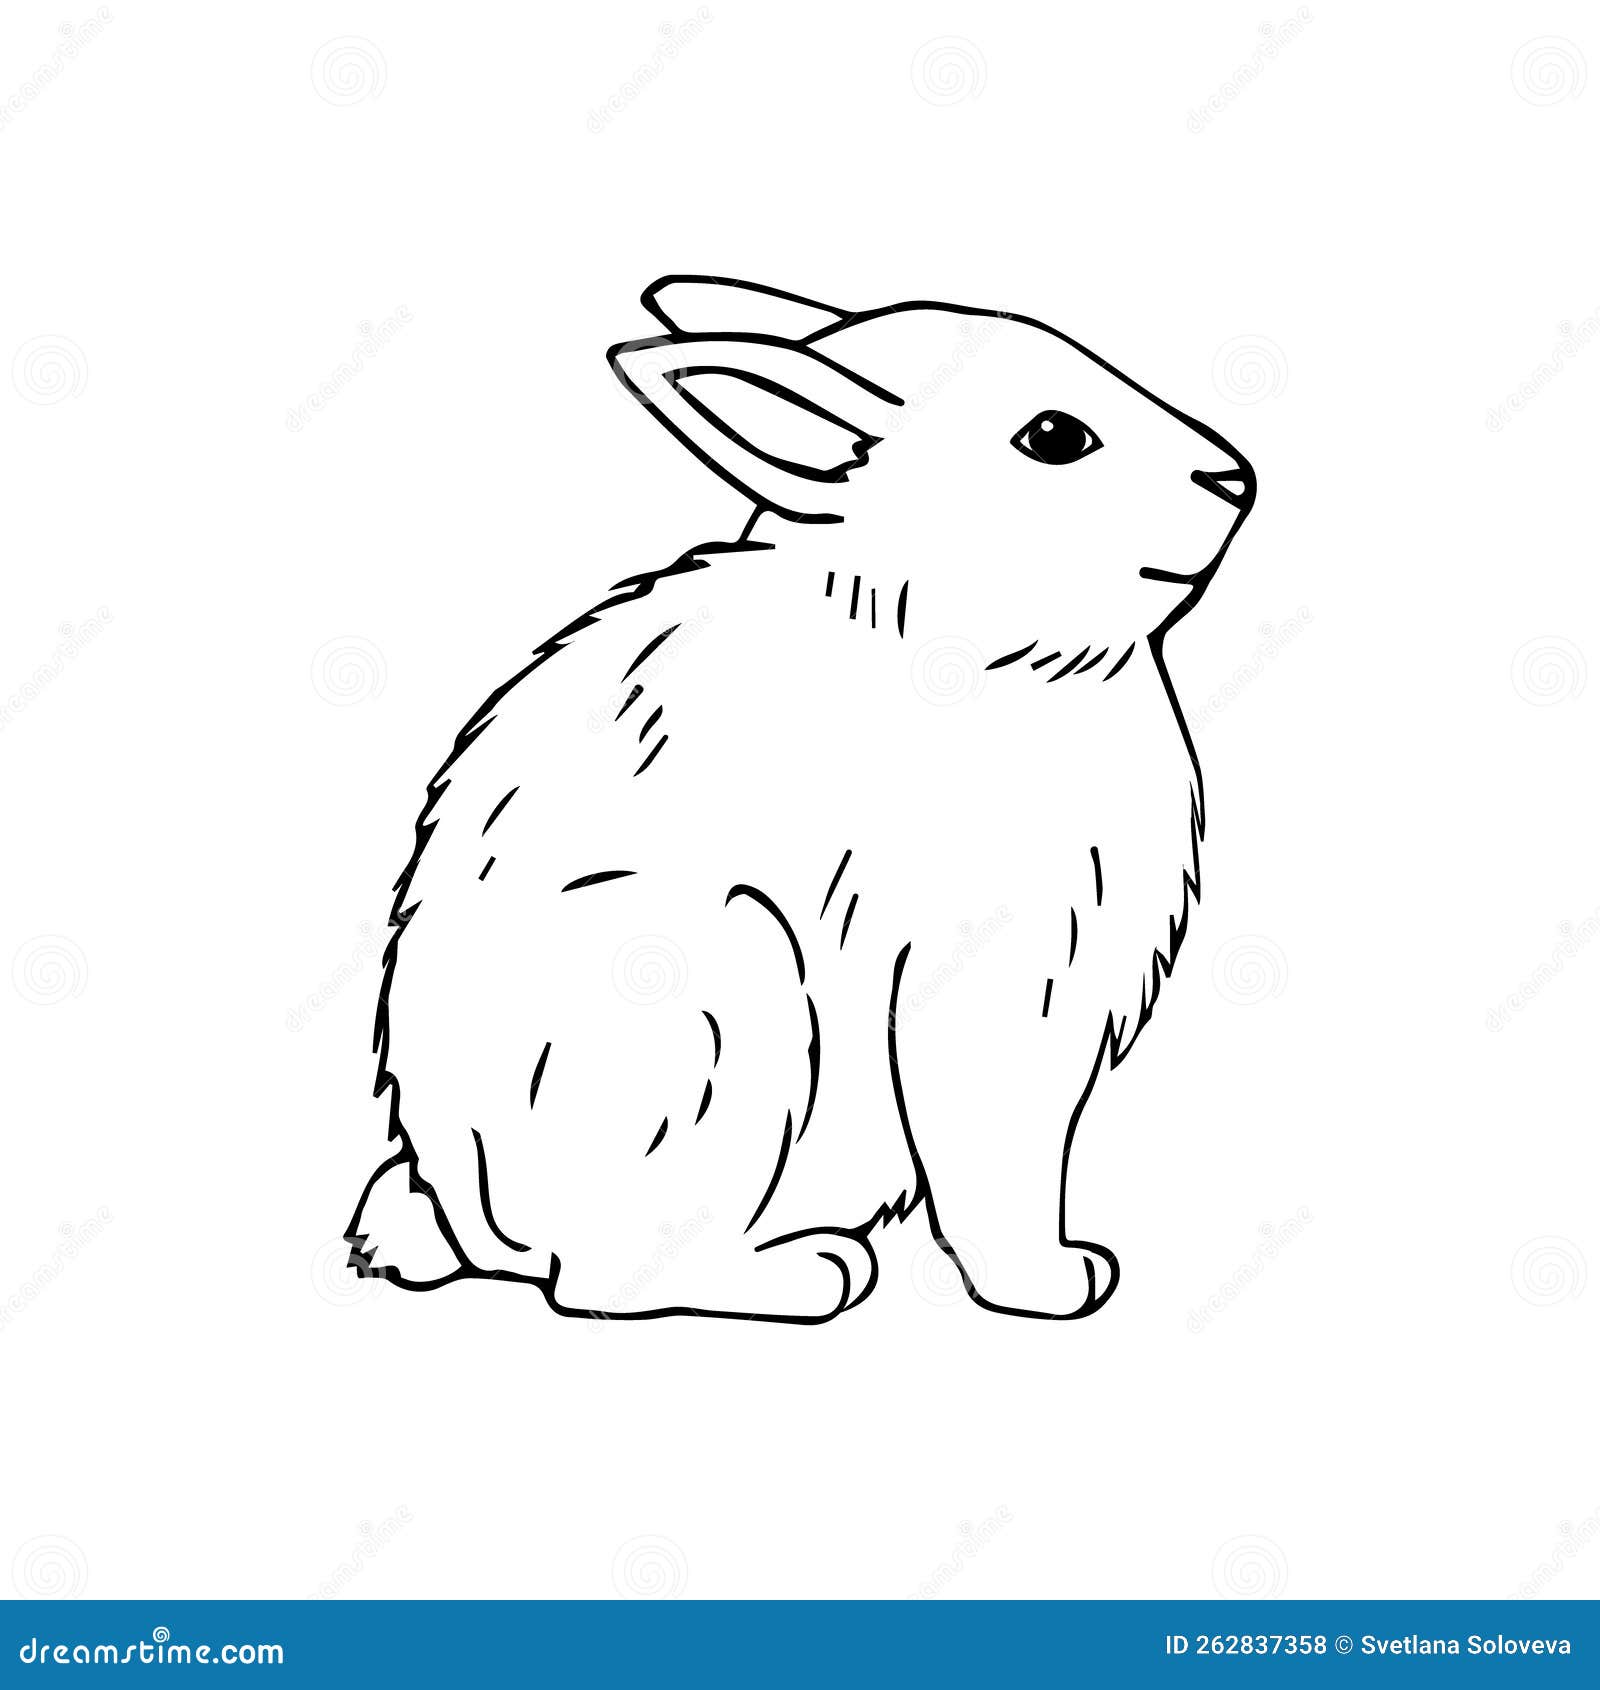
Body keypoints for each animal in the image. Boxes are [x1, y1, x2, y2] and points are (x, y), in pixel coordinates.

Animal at [343, 275, 1256, 1322]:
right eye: (1055, 437)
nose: (1237, 480)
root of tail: (472, 1211)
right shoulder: (1002, 986)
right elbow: (997, 1156)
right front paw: (1054, 1284)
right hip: (720, 990)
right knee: (605, 1279)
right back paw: (813, 1273)